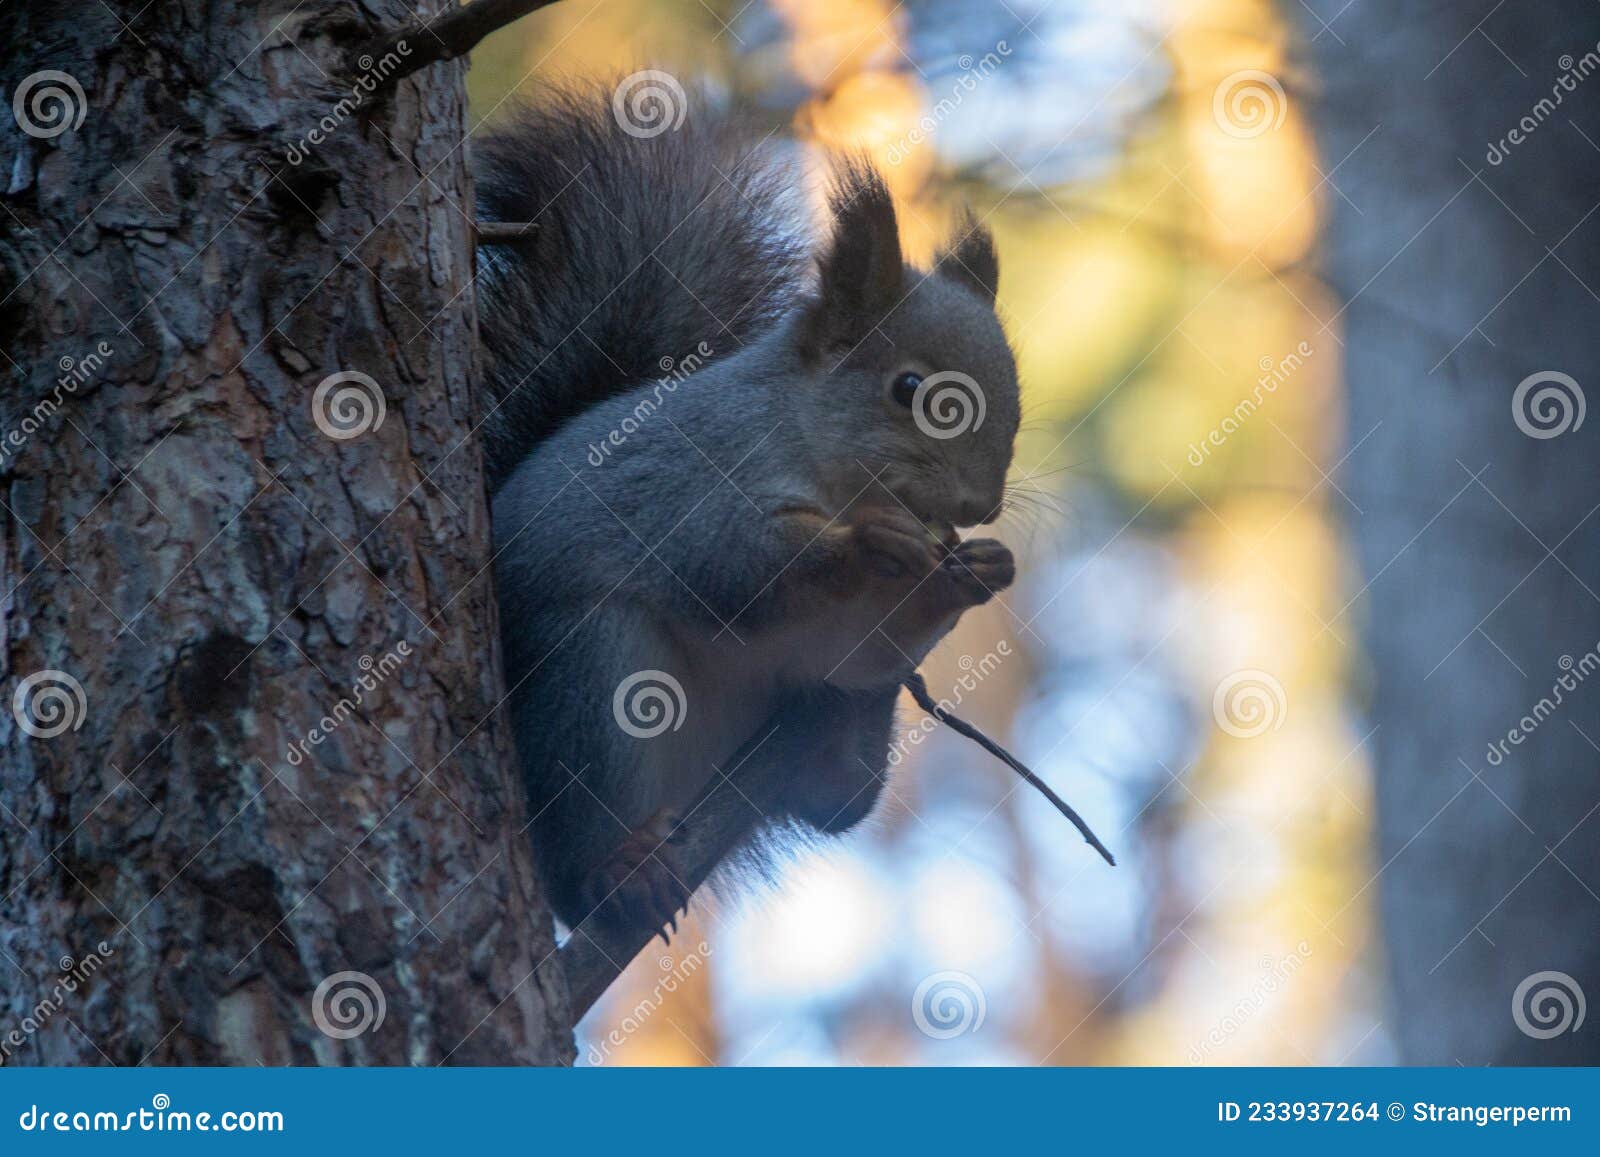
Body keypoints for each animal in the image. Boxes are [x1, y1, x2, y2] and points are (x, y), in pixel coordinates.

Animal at [475, 81, 1022, 939]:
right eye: (909, 389)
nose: (983, 504)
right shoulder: (694, 486)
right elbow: (735, 568)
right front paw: (869, 542)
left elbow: (863, 647)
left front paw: (975, 569)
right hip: (590, 674)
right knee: (577, 848)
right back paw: (619, 871)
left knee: (835, 799)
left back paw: (842, 748)